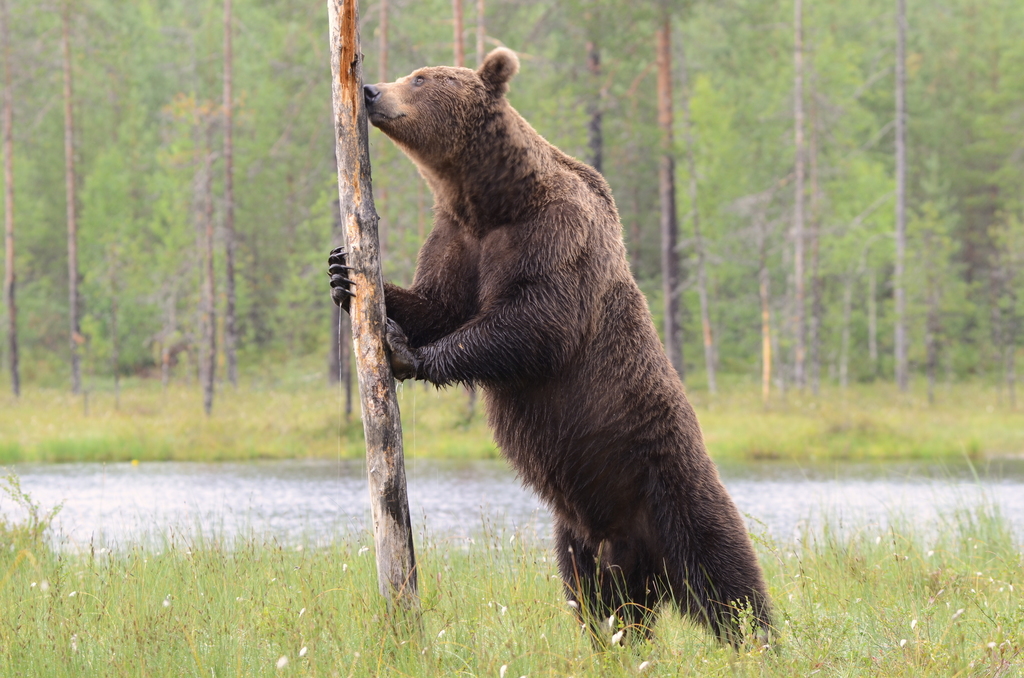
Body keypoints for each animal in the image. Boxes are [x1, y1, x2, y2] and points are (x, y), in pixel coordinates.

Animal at [329, 47, 772, 645]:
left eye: (421, 79)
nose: (372, 90)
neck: (489, 201)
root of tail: (632, 548)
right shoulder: (456, 238)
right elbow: (437, 301)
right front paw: (344, 274)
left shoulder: (555, 234)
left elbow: (534, 322)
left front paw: (404, 351)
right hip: (577, 538)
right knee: (601, 604)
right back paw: (615, 641)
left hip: (671, 485)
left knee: (727, 577)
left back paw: (762, 640)